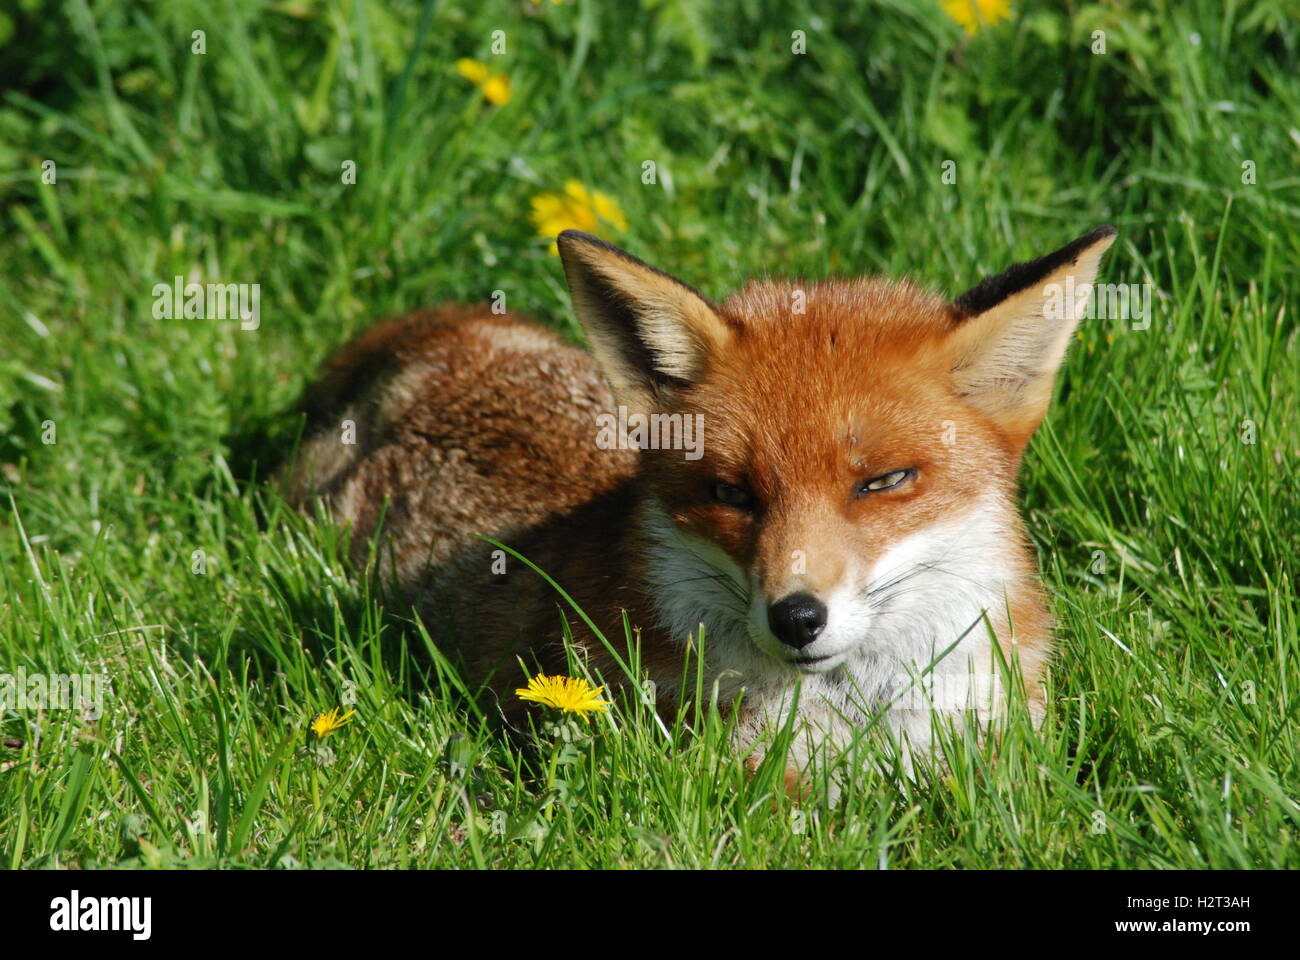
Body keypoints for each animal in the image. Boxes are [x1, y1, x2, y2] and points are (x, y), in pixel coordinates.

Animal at [282, 224, 1117, 782]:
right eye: (731, 493)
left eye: (882, 482)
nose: (797, 616)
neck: (861, 715)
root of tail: (432, 337)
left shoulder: (1003, 744)